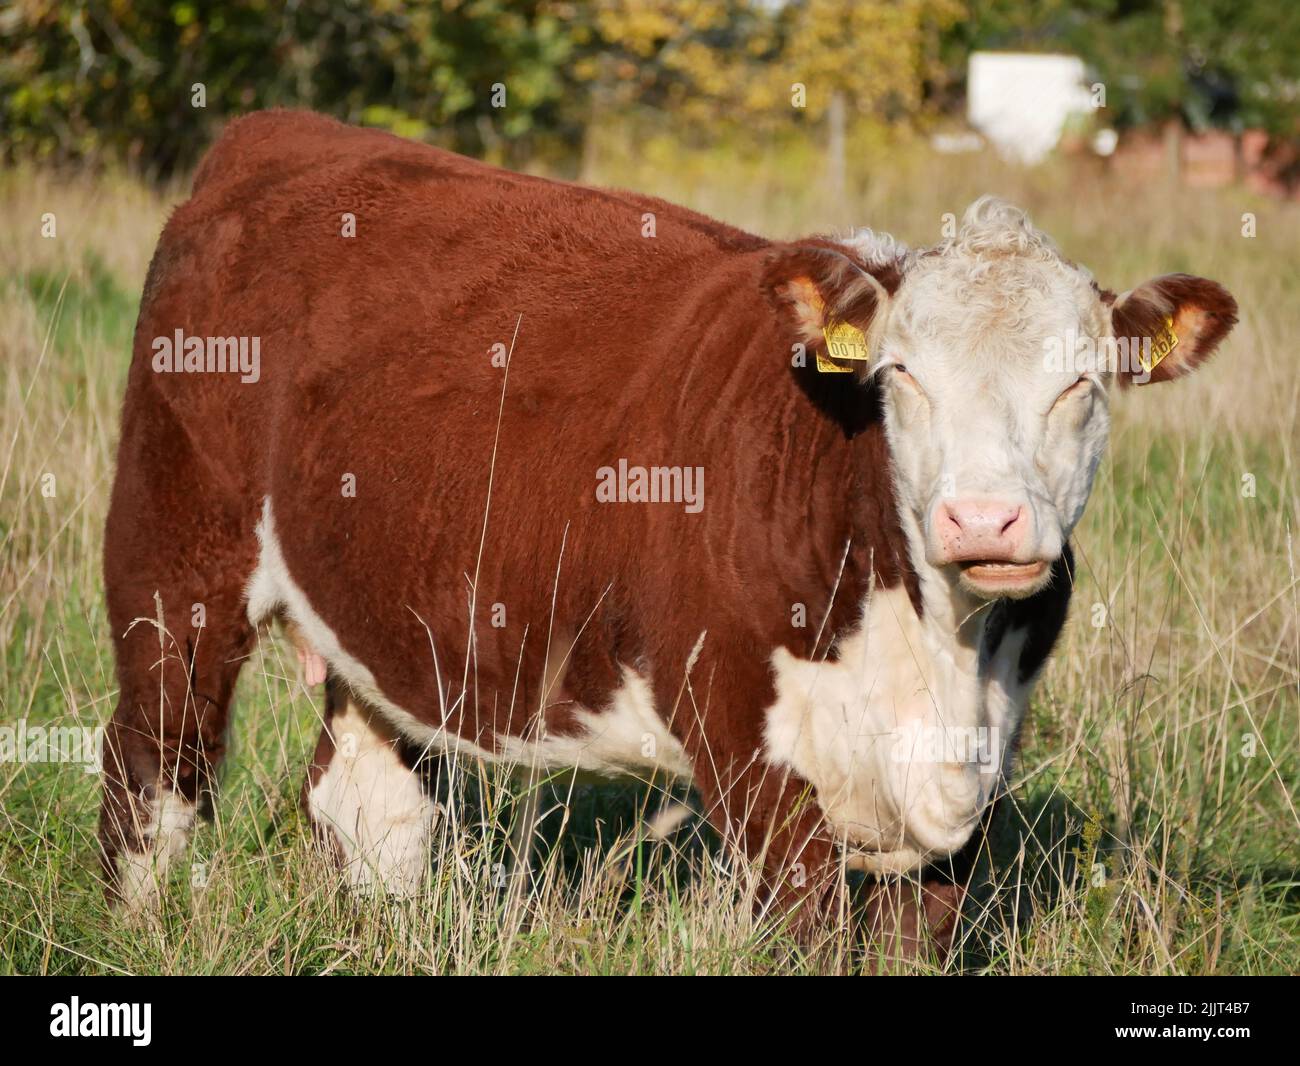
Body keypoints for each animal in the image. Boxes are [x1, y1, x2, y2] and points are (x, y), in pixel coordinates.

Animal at [99, 110, 1237, 959]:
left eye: (1082, 382)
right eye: (900, 373)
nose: (983, 518)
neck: (934, 645)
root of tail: (279, 134)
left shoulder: (970, 782)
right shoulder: (744, 740)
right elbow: (809, 928)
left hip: (378, 616)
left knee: (367, 809)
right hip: (173, 563)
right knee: (154, 768)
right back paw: (136, 928)